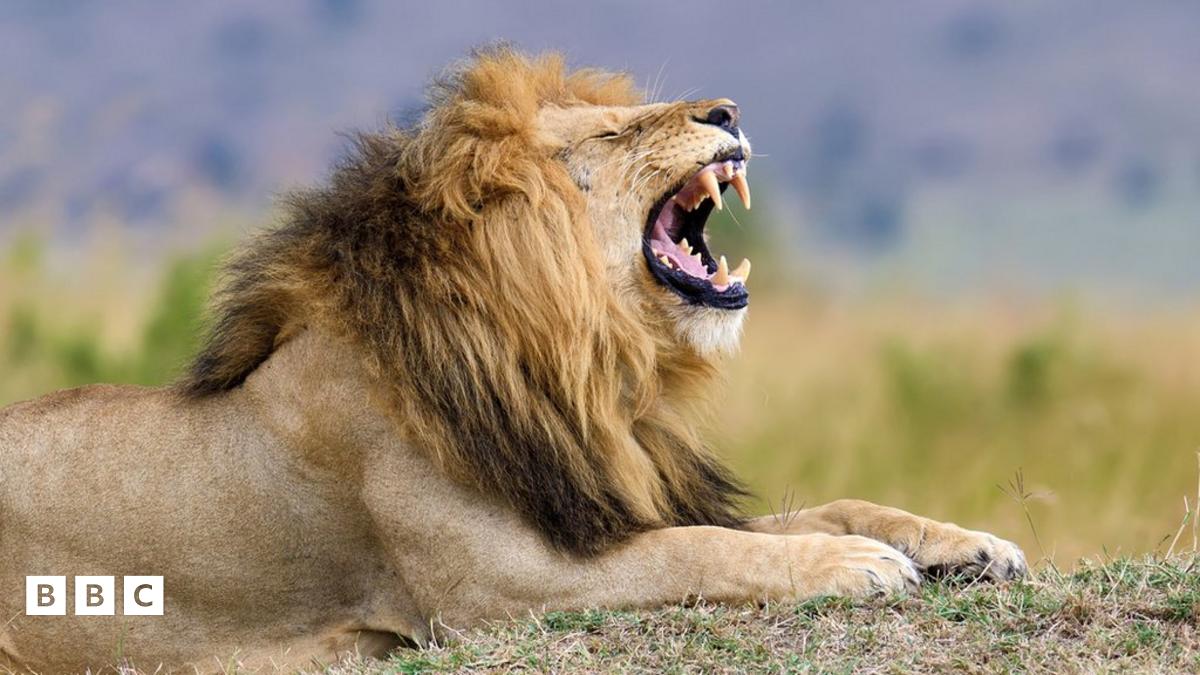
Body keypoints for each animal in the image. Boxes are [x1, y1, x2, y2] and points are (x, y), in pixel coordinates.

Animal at [0, 49, 1025, 672]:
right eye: (612, 134)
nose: (728, 107)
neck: (587, 368)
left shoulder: (608, 498)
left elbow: (816, 508)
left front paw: (964, 542)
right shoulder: (501, 587)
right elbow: (704, 548)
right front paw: (854, 564)